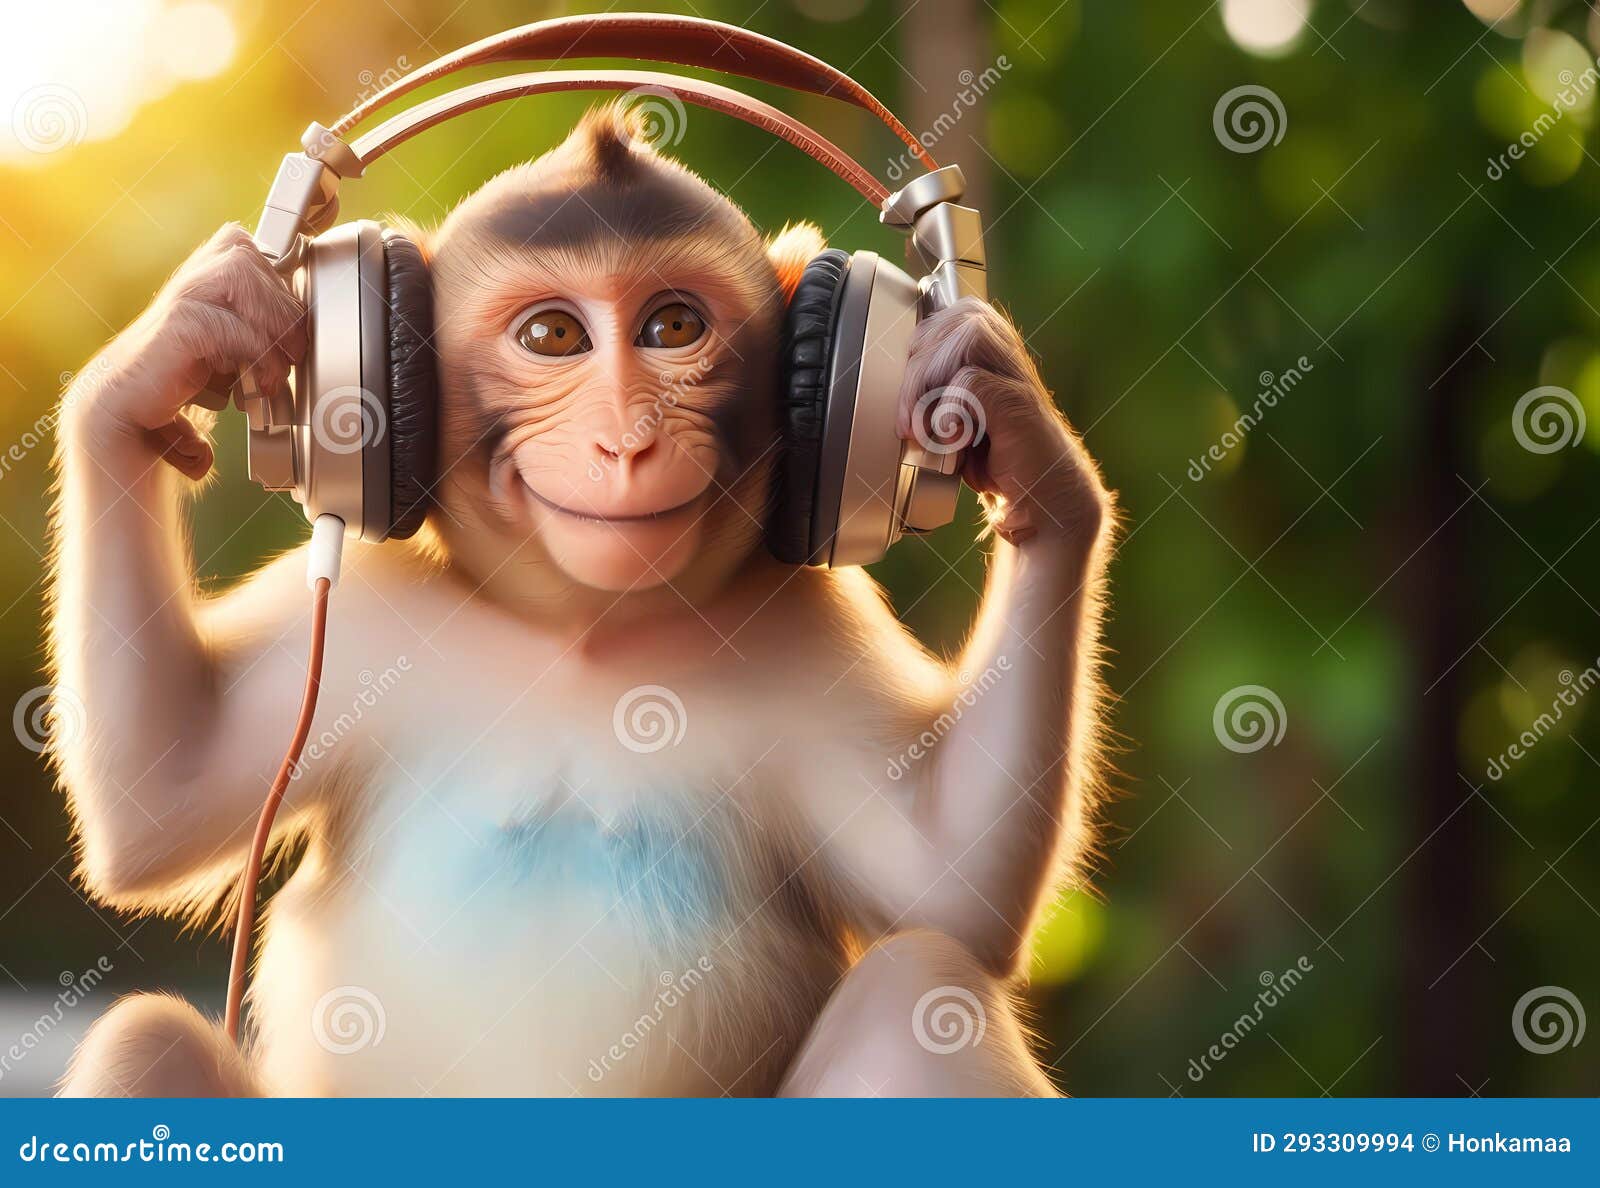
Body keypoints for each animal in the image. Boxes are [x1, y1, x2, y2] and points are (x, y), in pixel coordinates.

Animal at [47, 105, 1113, 1098]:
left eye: (674, 327)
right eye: (553, 336)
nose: (626, 439)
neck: (584, 630)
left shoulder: (818, 633)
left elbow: (955, 880)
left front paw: (1017, 433)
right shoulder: (360, 623)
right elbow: (163, 790)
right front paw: (174, 351)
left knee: (920, 988)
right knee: (149, 1039)